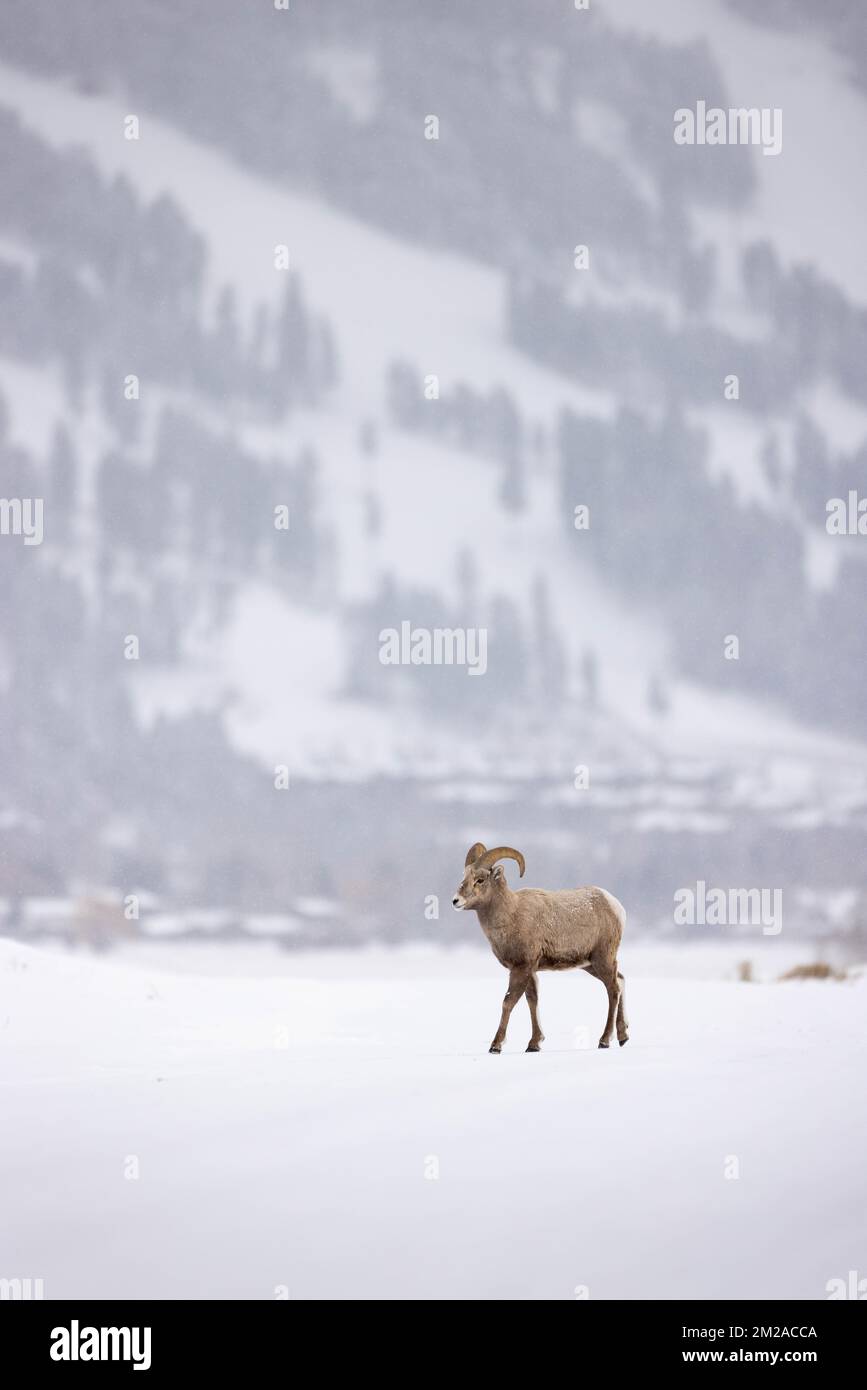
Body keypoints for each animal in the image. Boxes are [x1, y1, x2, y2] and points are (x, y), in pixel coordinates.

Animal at [452, 842, 629, 1053]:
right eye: (464, 877)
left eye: (480, 879)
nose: (456, 901)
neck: (511, 914)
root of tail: (615, 906)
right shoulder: (529, 969)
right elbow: (532, 1000)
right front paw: (534, 1044)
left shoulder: (522, 967)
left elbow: (508, 1001)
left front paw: (496, 1046)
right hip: (591, 965)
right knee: (620, 980)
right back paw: (623, 1036)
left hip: (602, 960)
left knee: (613, 989)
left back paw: (604, 1040)